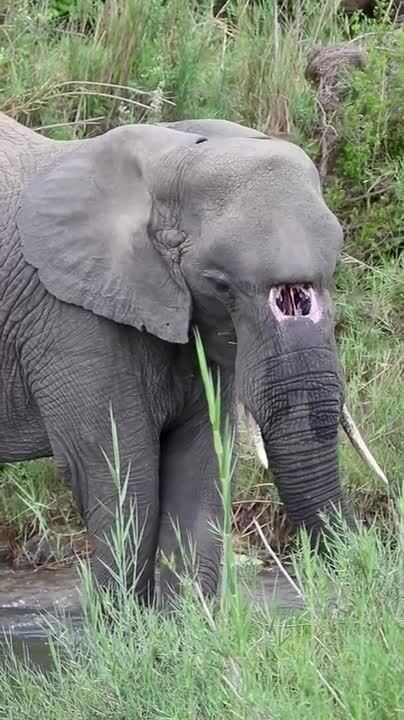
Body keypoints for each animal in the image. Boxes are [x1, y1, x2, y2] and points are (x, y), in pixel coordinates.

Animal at [0, 112, 384, 604]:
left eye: (333, 270)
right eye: (220, 285)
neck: (171, 158)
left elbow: (200, 464)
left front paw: (186, 618)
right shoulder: (70, 319)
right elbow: (121, 471)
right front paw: (121, 622)